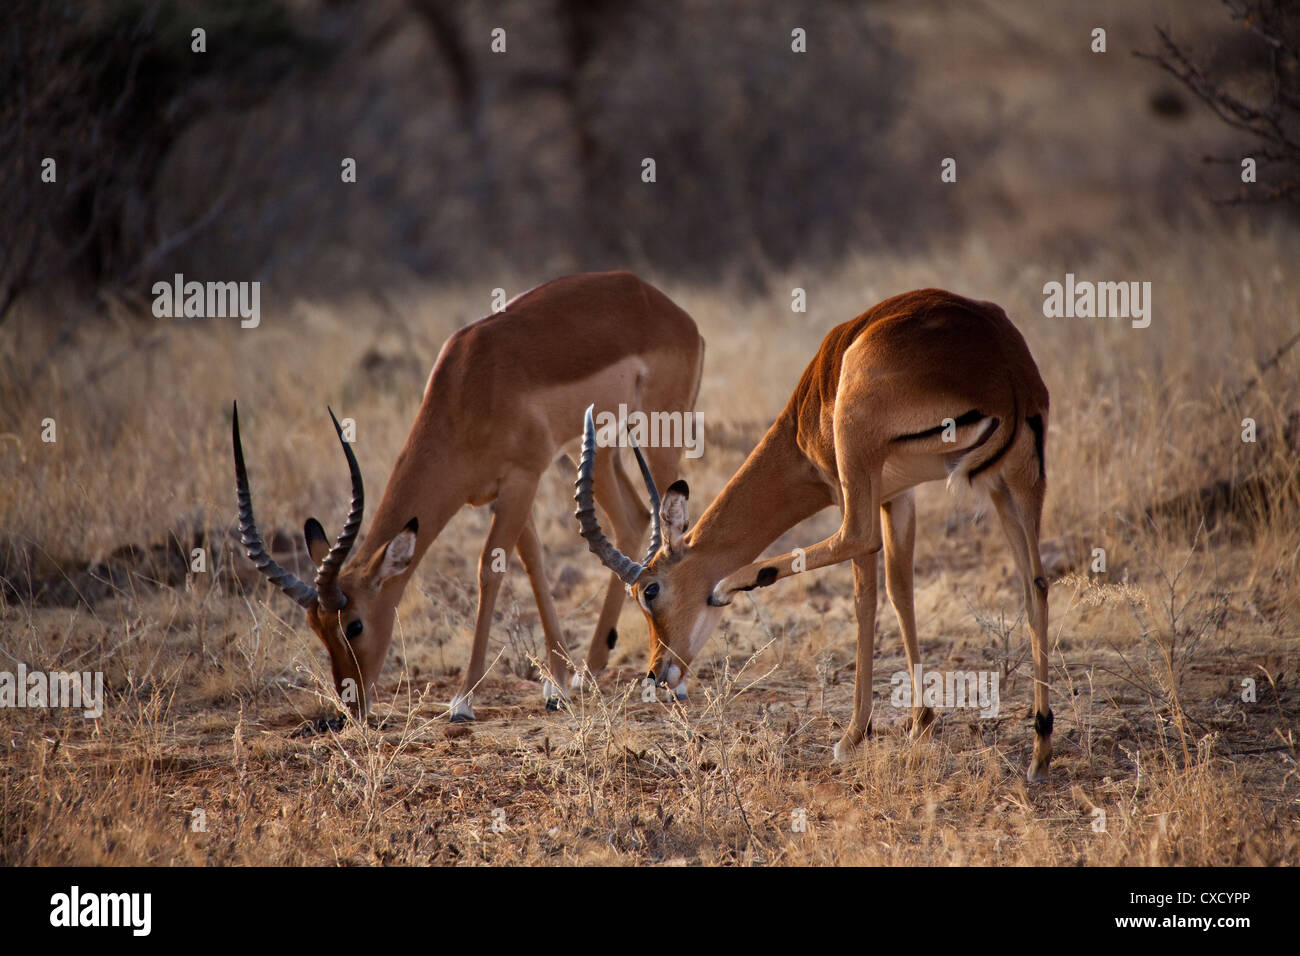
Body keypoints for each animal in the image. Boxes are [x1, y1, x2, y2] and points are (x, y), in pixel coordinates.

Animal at [233, 271, 705, 722]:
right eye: (316, 627)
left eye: (354, 625)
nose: (351, 706)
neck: (467, 387)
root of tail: (674, 312)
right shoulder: (504, 490)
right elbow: (533, 565)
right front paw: (557, 685)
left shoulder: (523, 478)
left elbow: (489, 571)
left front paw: (463, 700)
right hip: (593, 451)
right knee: (631, 519)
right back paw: (590, 669)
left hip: (659, 435)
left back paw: (670, 682)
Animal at [576, 289, 1056, 781]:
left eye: (649, 591)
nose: (657, 672)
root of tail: (1008, 374)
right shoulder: (899, 496)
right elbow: (901, 590)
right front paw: (921, 724)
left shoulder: (847, 491)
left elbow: (867, 597)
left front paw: (855, 736)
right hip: (1012, 484)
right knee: (1034, 581)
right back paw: (1040, 747)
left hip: (870, 459)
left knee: (857, 542)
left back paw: (733, 585)